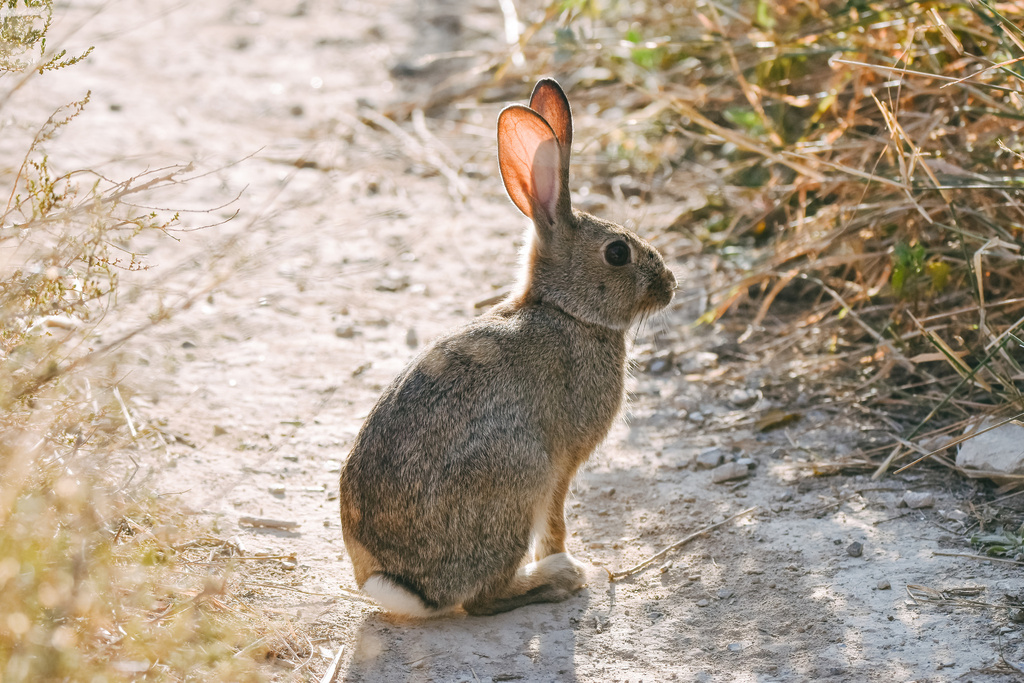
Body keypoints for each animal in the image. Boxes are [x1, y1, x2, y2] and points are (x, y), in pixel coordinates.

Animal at [339, 78, 676, 617]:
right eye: (617, 253)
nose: (670, 285)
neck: (565, 310)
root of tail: (402, 586)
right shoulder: (561, 465)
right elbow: (556, 521)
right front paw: (570, 560)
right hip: (518, 471)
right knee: (483, 598)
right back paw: (560, 578)